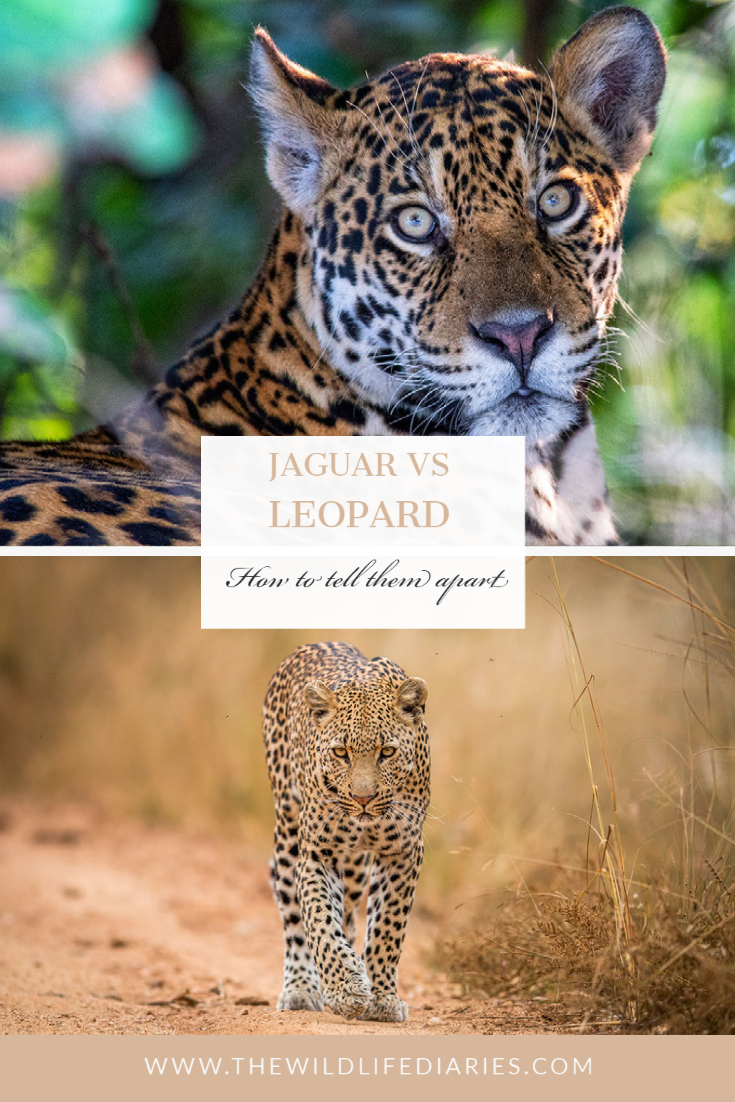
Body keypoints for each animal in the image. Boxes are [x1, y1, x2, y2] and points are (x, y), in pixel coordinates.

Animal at [262, 641, 429, 1022]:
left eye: (387, 751)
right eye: (340, 752)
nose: (363, 799)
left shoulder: (403, 851)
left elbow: (387, 927)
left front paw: (382, 998)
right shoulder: (317, 853)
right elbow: (320, 919)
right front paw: (344, 988)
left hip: (354, 869)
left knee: (351, 915)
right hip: (287, 830)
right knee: (294, 915)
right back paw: (301, 988)